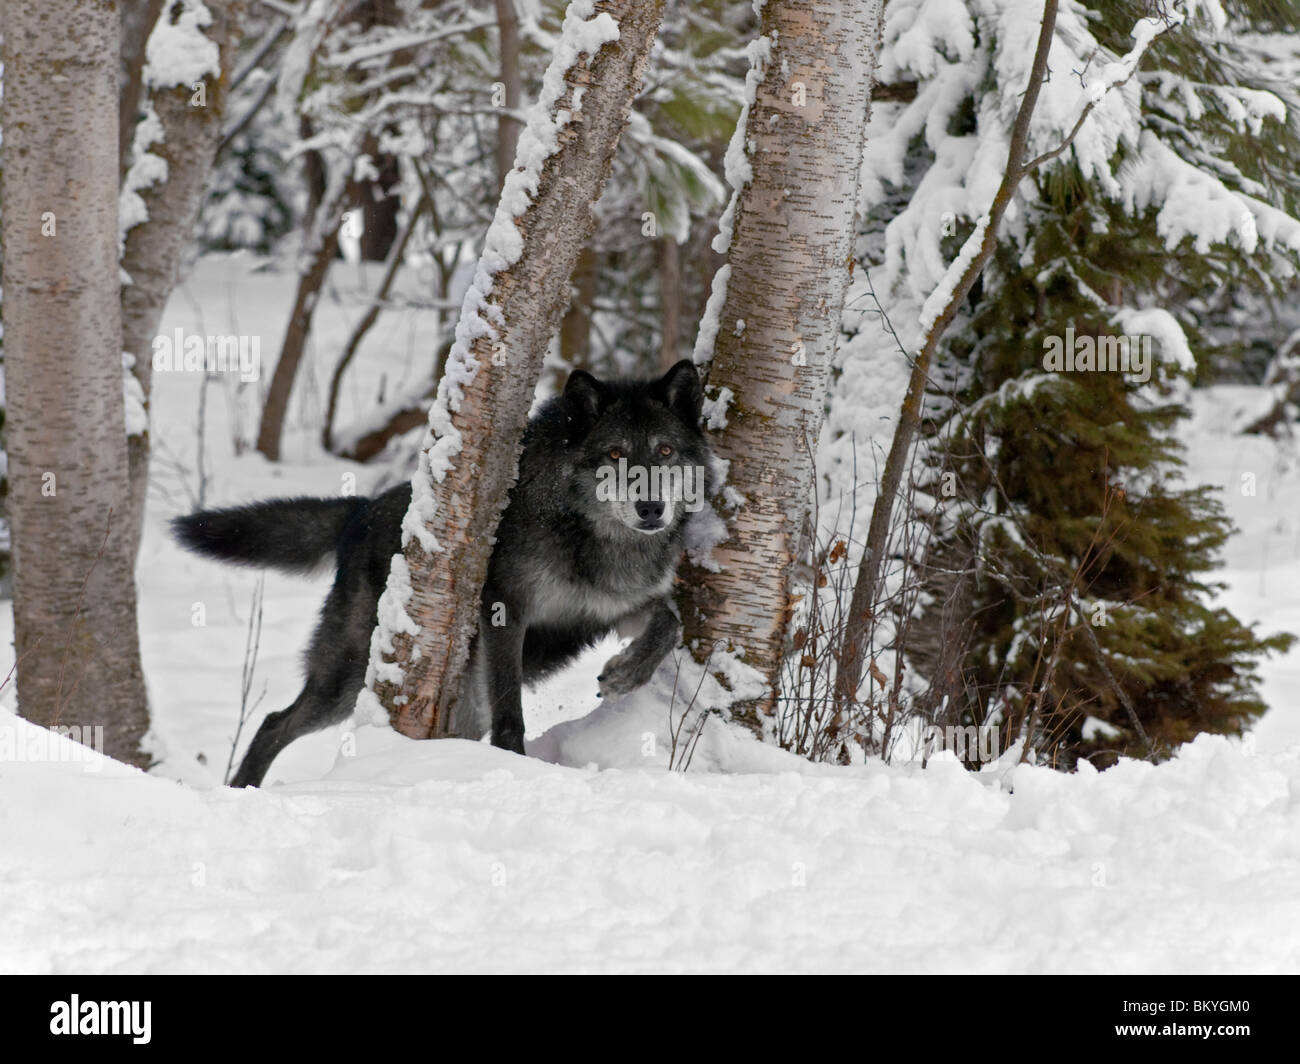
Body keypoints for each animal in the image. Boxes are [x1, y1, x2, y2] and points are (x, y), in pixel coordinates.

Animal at [173, 359, 711, 787]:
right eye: (616, 455)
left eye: (664, 452)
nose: (651, 509)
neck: (591, 534)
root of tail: (362, 508)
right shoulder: (506, 612)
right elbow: (511, 713)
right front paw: (514, 766)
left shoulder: (612, 610)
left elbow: (670, 620)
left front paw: (625, 673)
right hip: (345, 679)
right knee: (272, 723)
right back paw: (241, 789)